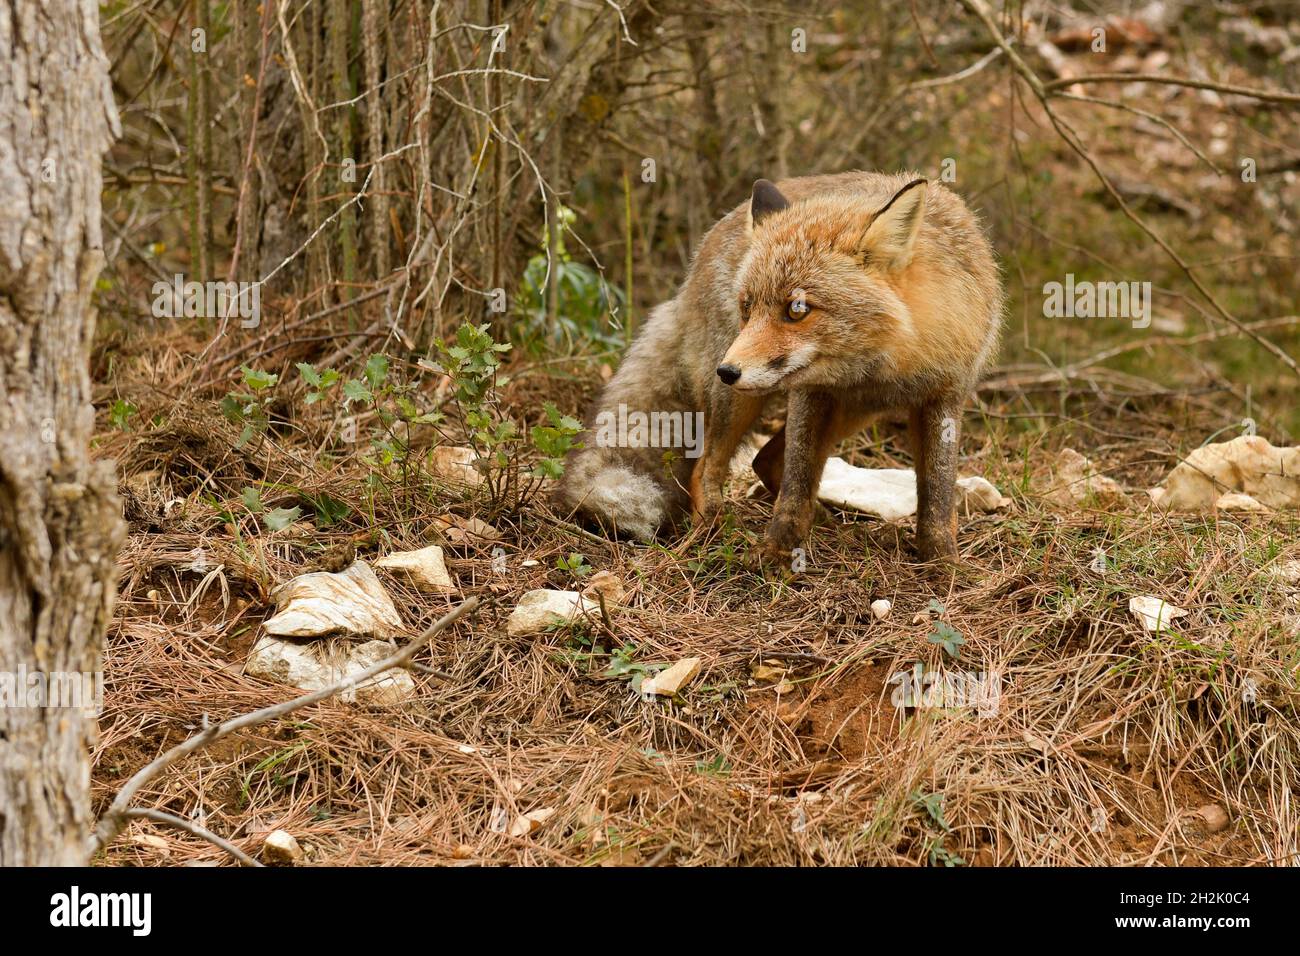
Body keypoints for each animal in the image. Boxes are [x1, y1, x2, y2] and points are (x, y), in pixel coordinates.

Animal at [556, 170, 1004, 562]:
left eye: (797, 309)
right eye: (748, 307)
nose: (727, 371)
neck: (890, 359)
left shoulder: (944, 395)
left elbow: (938, 493)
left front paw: (942, 563)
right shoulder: (812, 393)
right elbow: (796, 484)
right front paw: (776, 554)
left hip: (854, 411)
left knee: (763, 460)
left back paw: (822, 520)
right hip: (741, 403)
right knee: (706, 468)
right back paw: (714, 528)